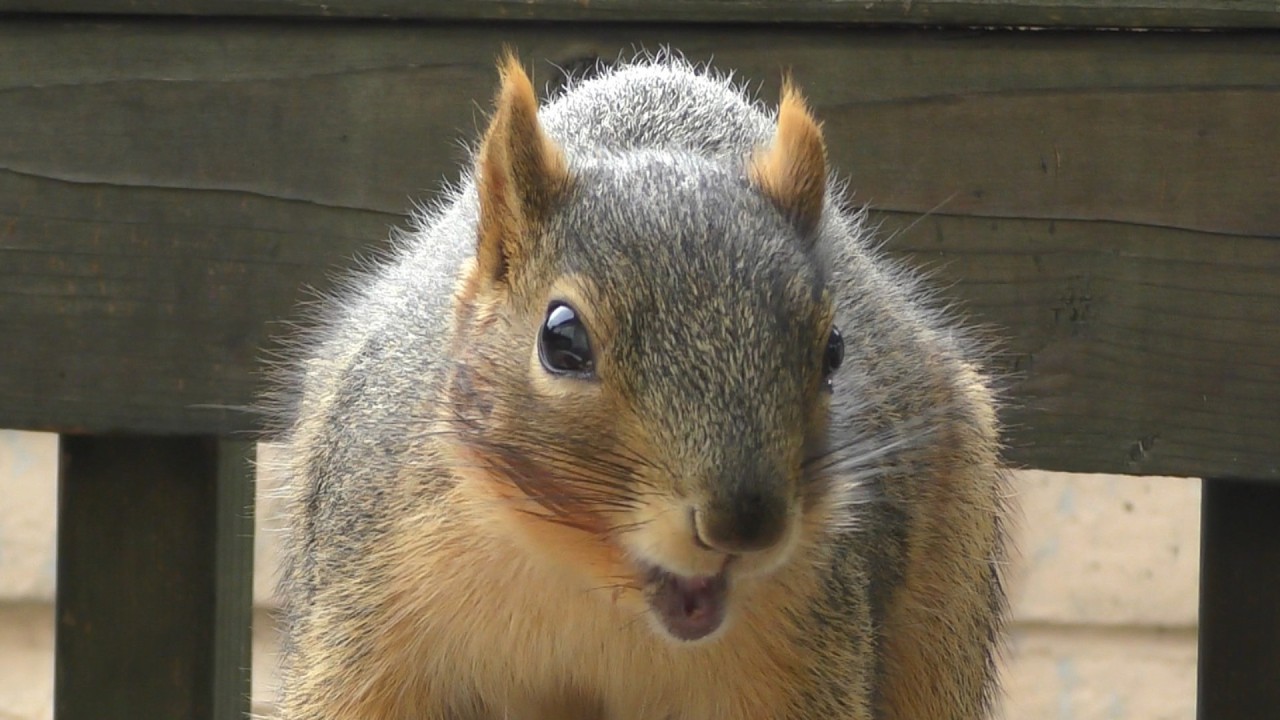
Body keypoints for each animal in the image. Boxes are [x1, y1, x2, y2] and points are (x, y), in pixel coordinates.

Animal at [270, 51, 1008, 720]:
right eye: (561, 339)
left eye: (834, 350)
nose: (746, 524)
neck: (590, 590)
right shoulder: (366, 609)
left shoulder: (805, 652)